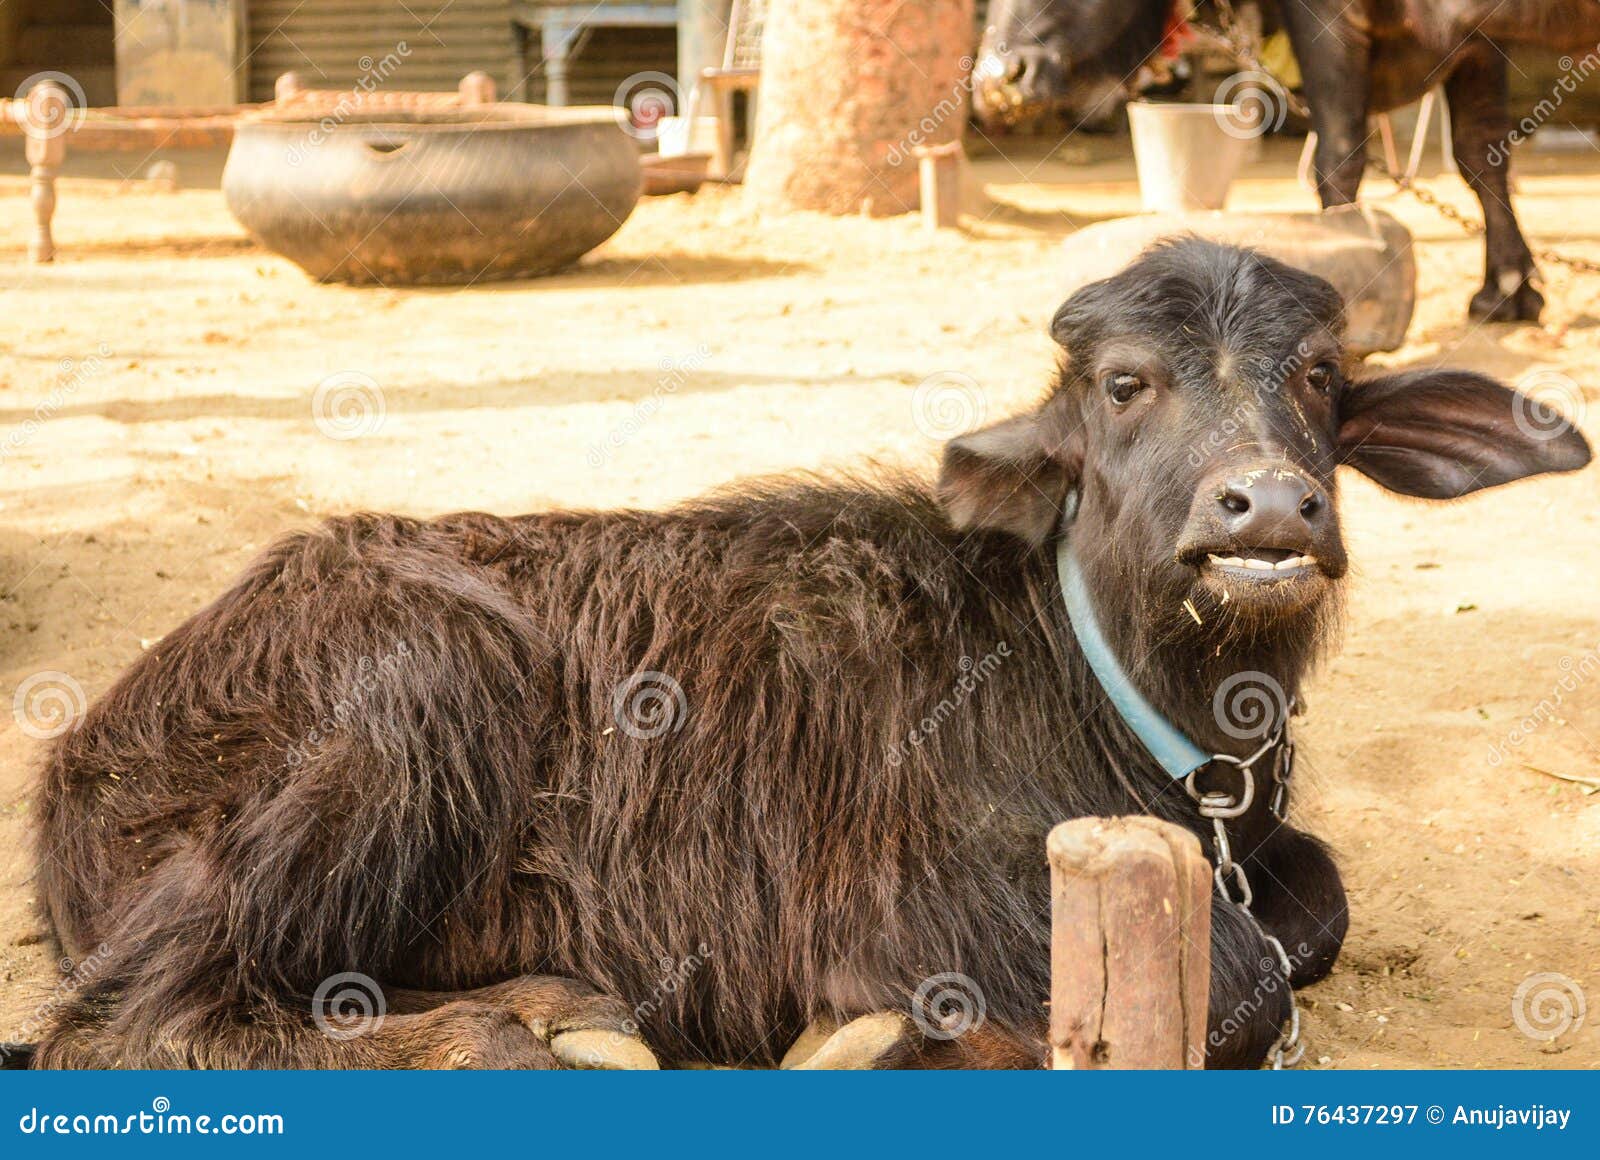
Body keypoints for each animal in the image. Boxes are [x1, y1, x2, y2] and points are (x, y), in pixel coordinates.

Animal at [13, 240, 1589, 1070]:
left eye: (1318, 377)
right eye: (1123, 385)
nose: (1265, 508)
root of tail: (85, 755)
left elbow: (1309, 913)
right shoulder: (916, 903)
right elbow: (1243, 979)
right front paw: (898, 1037)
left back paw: (555, 1008)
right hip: (420, 684)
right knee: (140, 1018)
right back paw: (531, 1037)